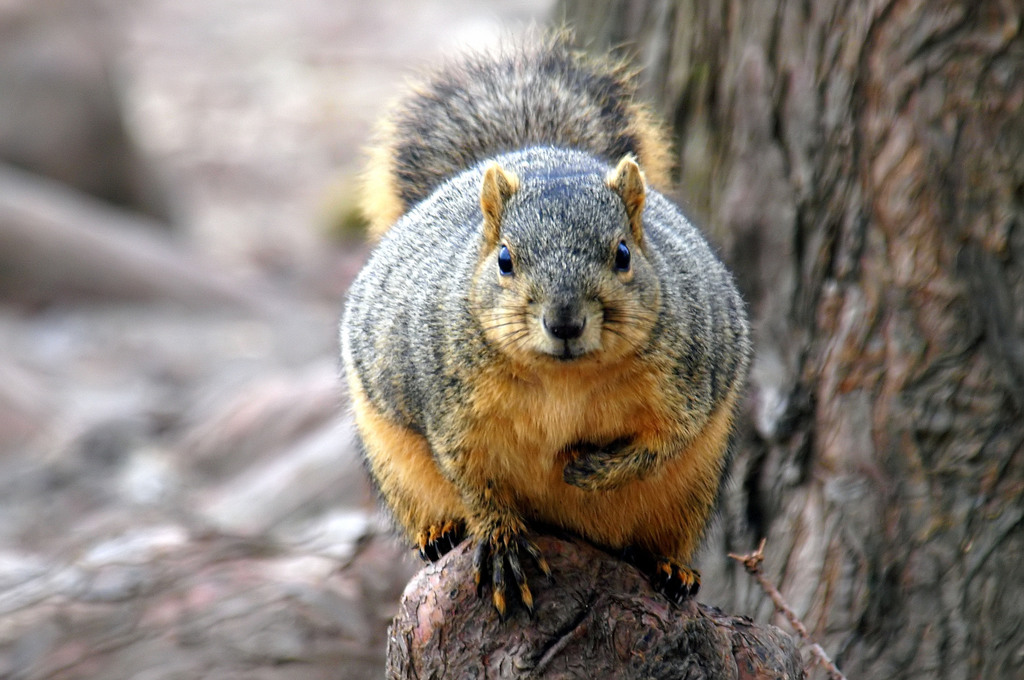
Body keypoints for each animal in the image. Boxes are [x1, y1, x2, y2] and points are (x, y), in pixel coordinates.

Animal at [340, 34, 751, 617]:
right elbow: (473, 481)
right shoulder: (450, 413)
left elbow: (666, 441)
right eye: (505, 260)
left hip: (695, 486)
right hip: (392, 461)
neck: (564, 378)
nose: (564, 322)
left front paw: (591, 470)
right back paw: (439, 534)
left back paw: (671, 568)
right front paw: (502, 542)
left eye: (623, 254)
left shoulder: (690, 379)